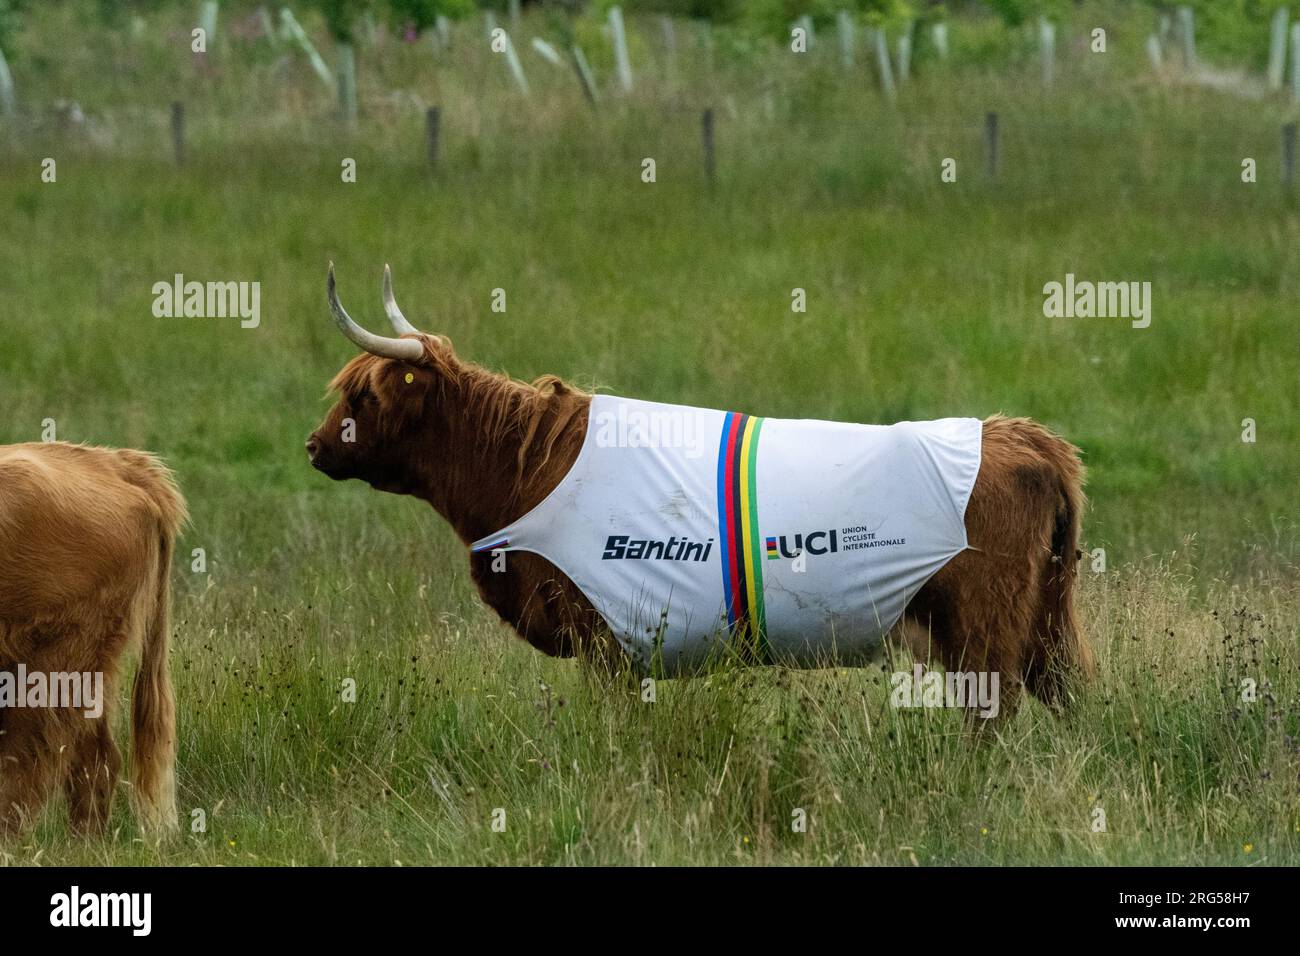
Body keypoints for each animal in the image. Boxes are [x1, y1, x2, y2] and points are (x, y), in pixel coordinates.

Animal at [307, 265, 1093, 717]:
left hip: (984, 625)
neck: (524, 476)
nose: (314, 446)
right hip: (1045, 618)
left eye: (362, 396)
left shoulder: (604, 637)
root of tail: (1028, 436)